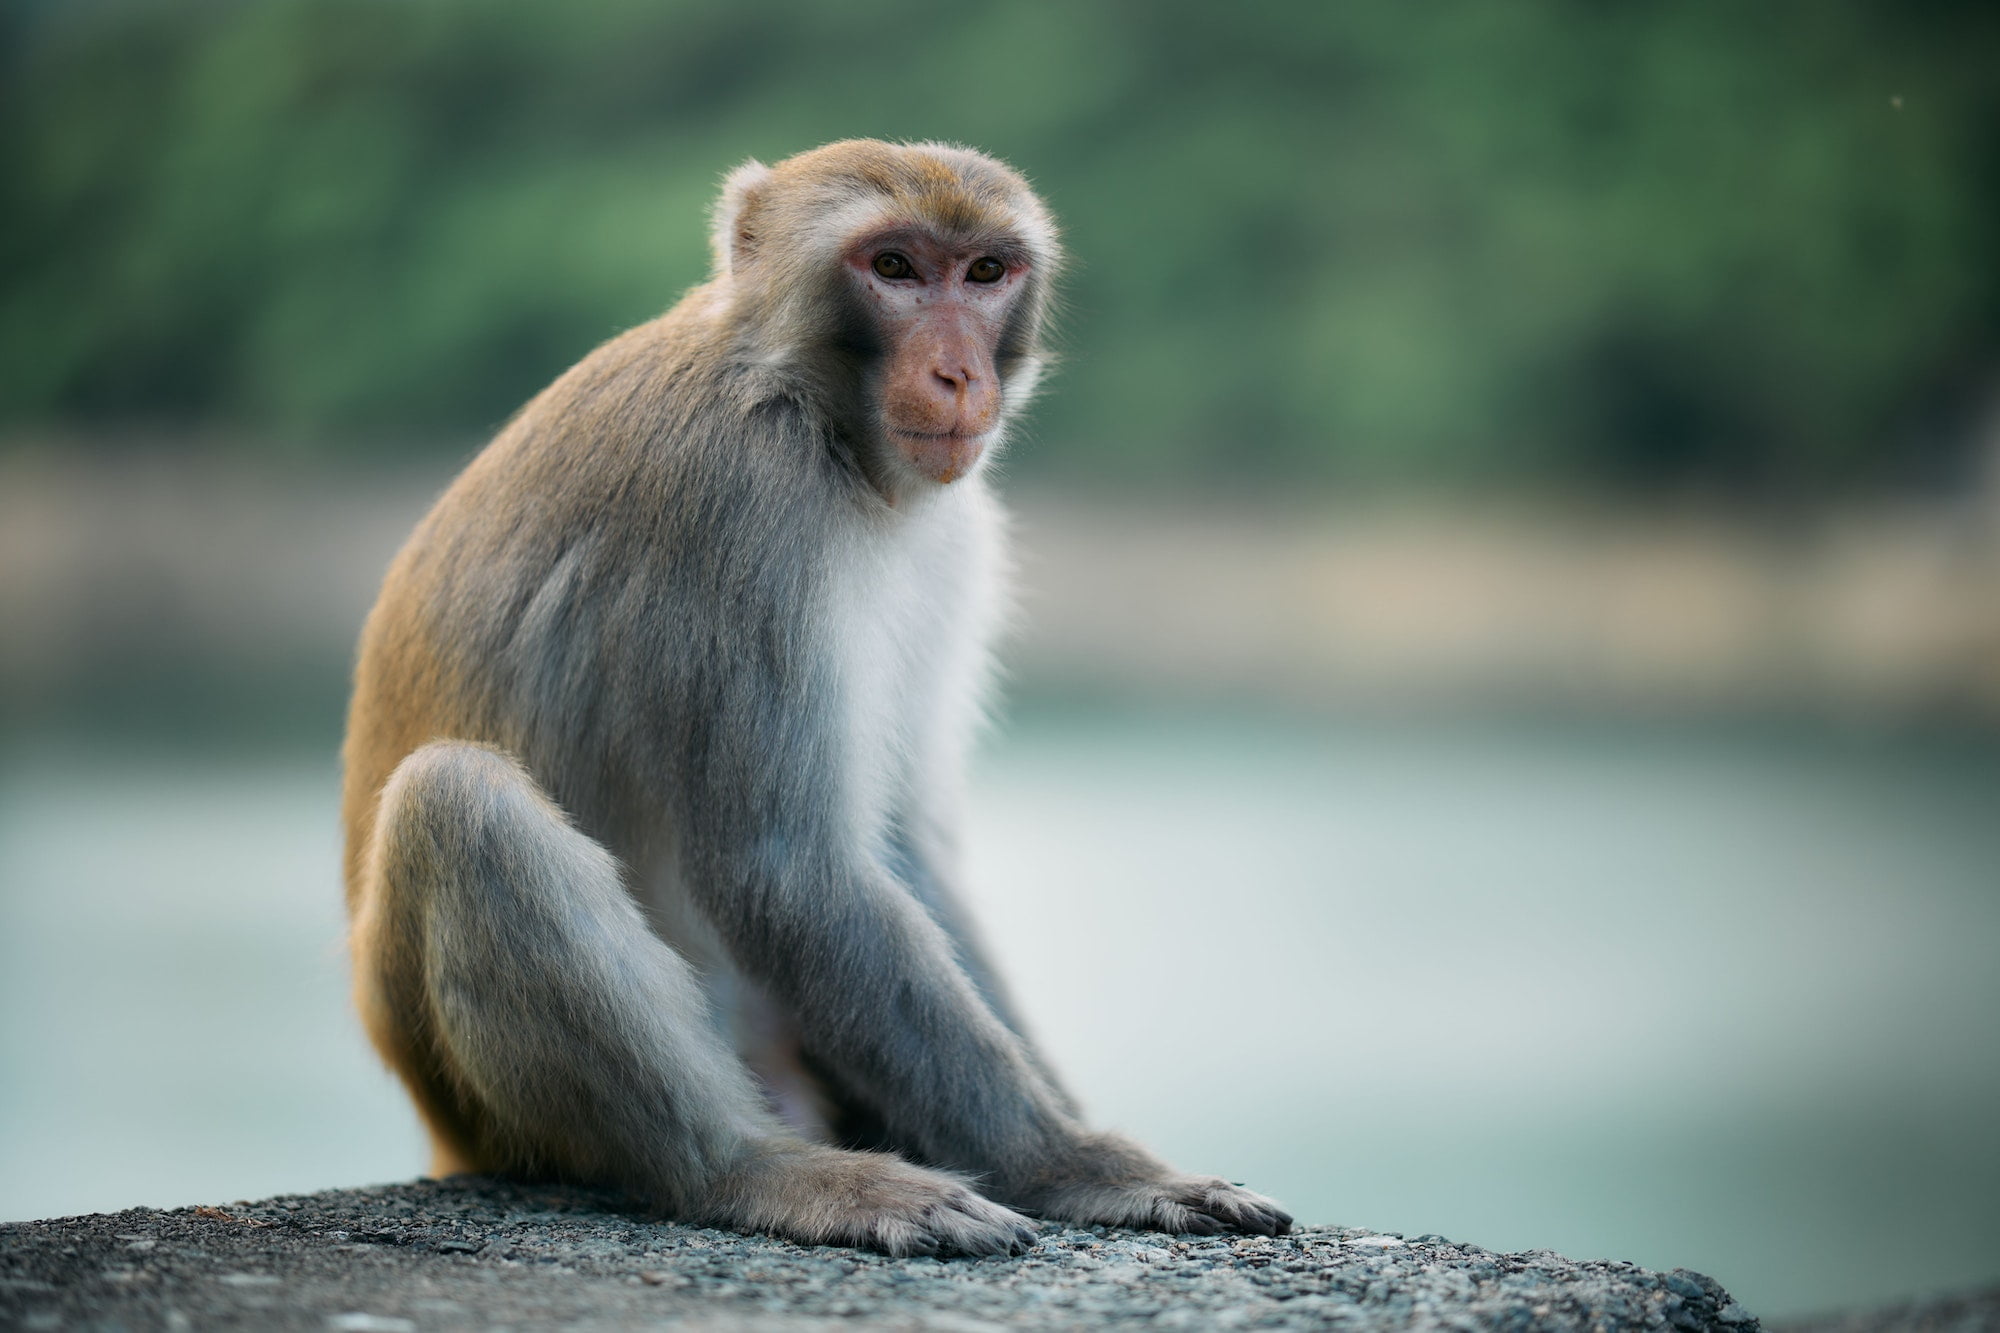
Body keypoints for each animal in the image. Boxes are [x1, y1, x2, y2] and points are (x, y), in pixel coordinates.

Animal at [340, 140, 1291, 1257]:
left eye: (983, 272)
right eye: (893, 268)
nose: (958, 373)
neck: (809, 408)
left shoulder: (952, 531)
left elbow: (899, 844)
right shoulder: (743, 502)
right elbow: (786, 868)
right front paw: (1072, 1163)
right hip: (482, 1101)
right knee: (461, 803)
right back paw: (749, 1169)